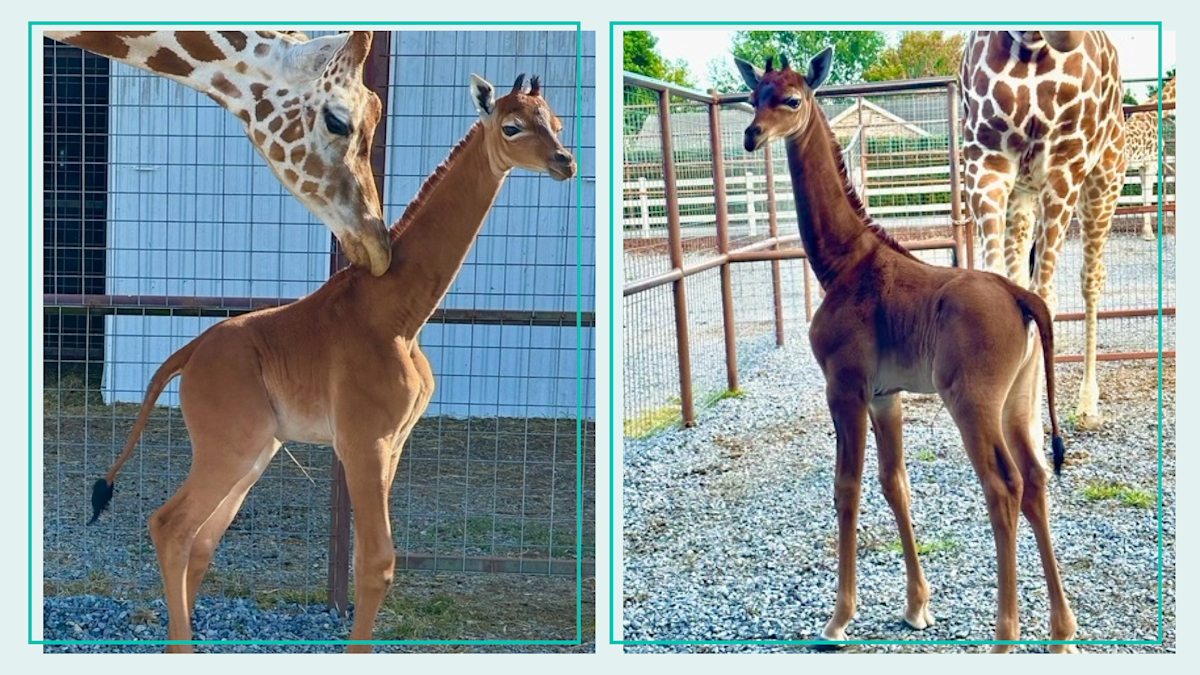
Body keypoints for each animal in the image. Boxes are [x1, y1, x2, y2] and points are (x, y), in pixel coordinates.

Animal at [86, 73, 575, 652]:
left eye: (557, 122)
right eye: (512, 126)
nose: (565, 162)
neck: (400, 313)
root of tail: (186, 356)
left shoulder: (392, 443)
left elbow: (368, 558)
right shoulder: (365, 439)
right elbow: (376, 563)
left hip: (257, 450)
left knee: (201, 539)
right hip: (231, 446)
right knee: (171, 525)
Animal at [738, 48, 1076, 652]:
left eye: (792, 99)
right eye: (754, 96)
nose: (753, 135)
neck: (842, 263)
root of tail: (1021, 295)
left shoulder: (844, 388)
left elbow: (846, 488)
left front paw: (839, 619)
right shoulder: (884, 395)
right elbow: (895, 484)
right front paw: (917, 607)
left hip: (972, 402)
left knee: (1004, 487)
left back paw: (1005, 635)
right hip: (1018, 402)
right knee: (1036, 481)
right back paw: (1062, 632)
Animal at [959, 30, 1127, 431]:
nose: (1067, 34)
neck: (1031, 46)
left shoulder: (1064, 166)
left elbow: (1045, 299)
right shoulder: (985, 161)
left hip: (1104, 179)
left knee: (1091, 278)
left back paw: (1087, 404)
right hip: (1023, 194)